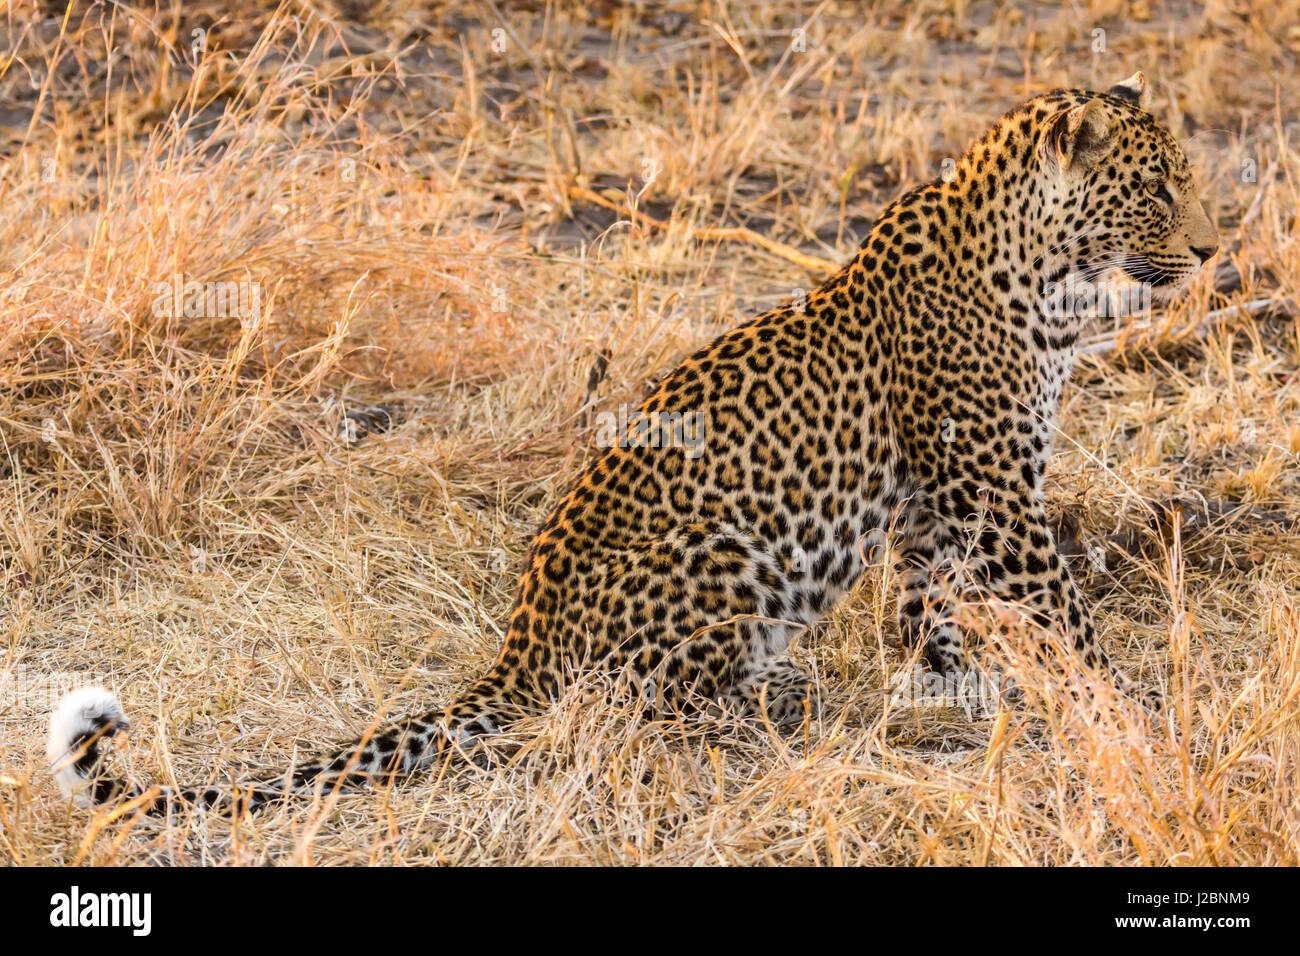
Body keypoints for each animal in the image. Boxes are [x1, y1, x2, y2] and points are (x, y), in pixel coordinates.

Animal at [49, 71, 1218, 814]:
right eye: (1158, 189)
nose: (1215, 251)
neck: (1049, 276)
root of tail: (520, 647)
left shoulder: (944, 497)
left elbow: (933, 602)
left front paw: (950, 689)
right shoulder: (994, 490)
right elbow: (1066, 614)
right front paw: (1137, 709)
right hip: (728, 554)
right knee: (623, 706)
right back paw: (765, 702)